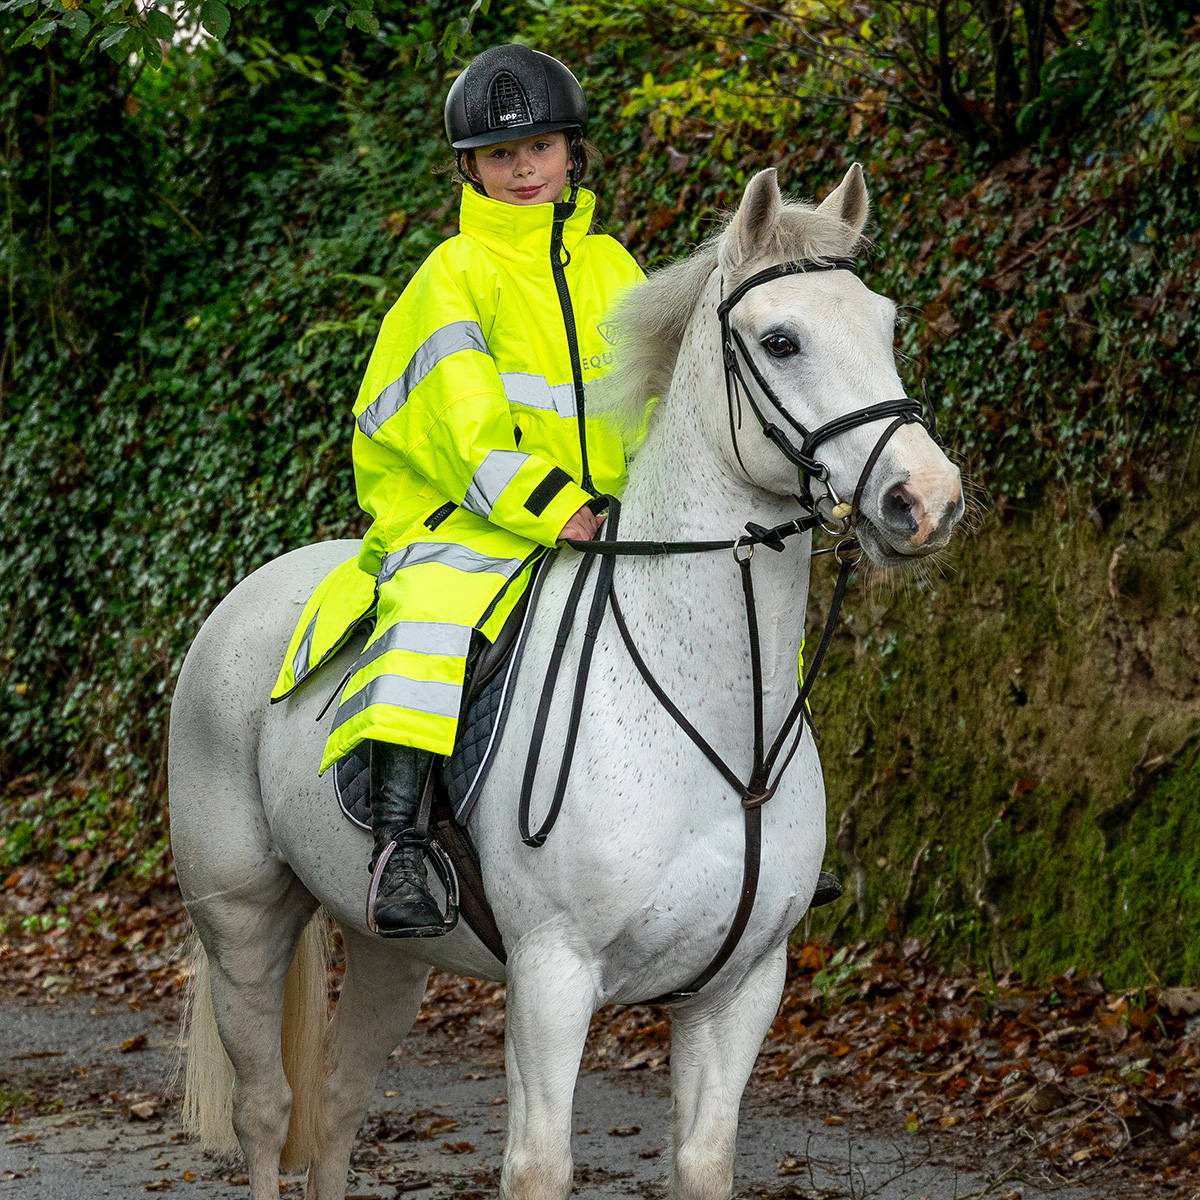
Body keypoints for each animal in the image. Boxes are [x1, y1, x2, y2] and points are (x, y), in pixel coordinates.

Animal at [169, 165, 964, 1200]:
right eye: (781, 340)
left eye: (886, 324)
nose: (926, 501)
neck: (715, 730)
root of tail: (248, 596)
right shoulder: (553, 977)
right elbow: (539, 1165)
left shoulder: (738, 992)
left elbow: (704, 1162)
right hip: (242, 923)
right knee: (267, 1111)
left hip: (389, 950)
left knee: (338, 1100)